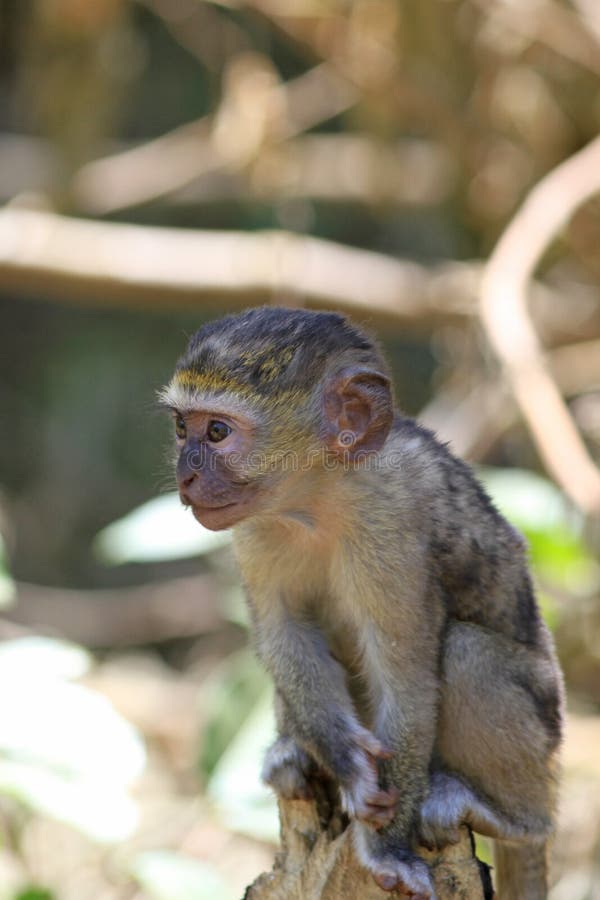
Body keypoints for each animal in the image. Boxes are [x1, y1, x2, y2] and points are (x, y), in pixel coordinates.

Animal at [159, 307, 564, 899]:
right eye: (181, 427)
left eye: (217, 431)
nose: (186, 474)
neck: (320, 500)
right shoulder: (257, 528)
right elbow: (285, 632)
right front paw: (345, 760)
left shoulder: (390, 527)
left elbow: (407, 683)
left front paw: (386, 846)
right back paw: (295, 755)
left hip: (543, 734)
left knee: (468, 654)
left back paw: (514, 819)